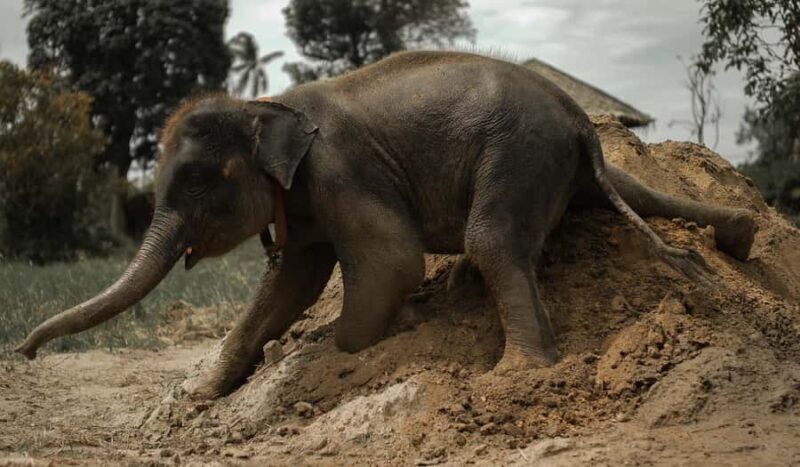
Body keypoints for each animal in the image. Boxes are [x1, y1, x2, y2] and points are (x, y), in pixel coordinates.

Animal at [15, 51, 755, 400]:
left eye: (196, 182)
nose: (22, 352)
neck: (266, 107)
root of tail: (579, 119)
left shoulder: (341, 174)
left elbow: (393, 262)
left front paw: (338, 358)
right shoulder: (306, 199)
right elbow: (288, 285)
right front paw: (206, 392)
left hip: (518, 152)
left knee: (491, 241)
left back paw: (516, 371)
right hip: (560, 163)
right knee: (628, 190)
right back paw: (741, 235)